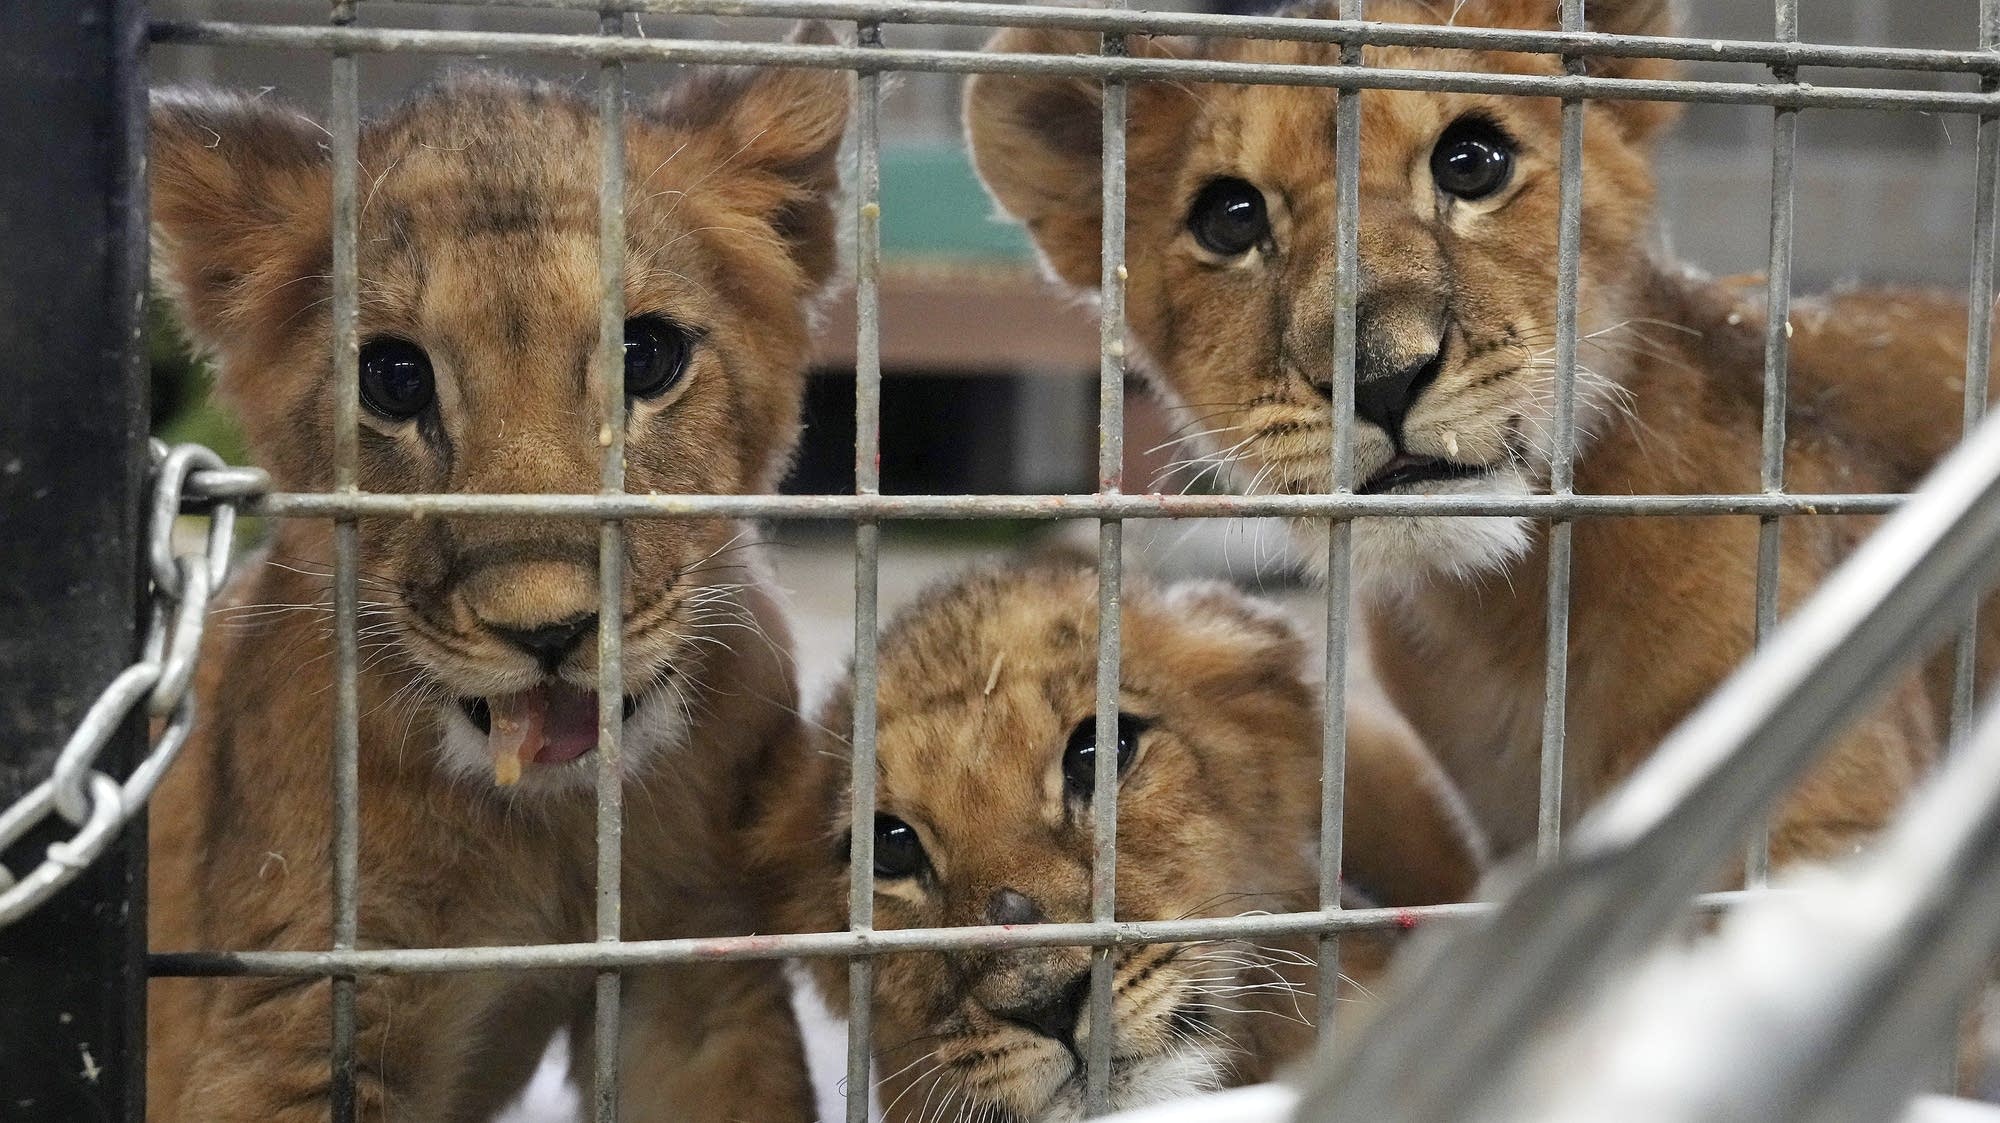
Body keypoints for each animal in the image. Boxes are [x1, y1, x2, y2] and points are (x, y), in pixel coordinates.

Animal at [145, 34, 845, 1121]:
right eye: (394, 379)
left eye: (646, 356)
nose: (547, 632)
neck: (551, 827)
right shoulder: (296, 1022)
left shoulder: (694, 974)